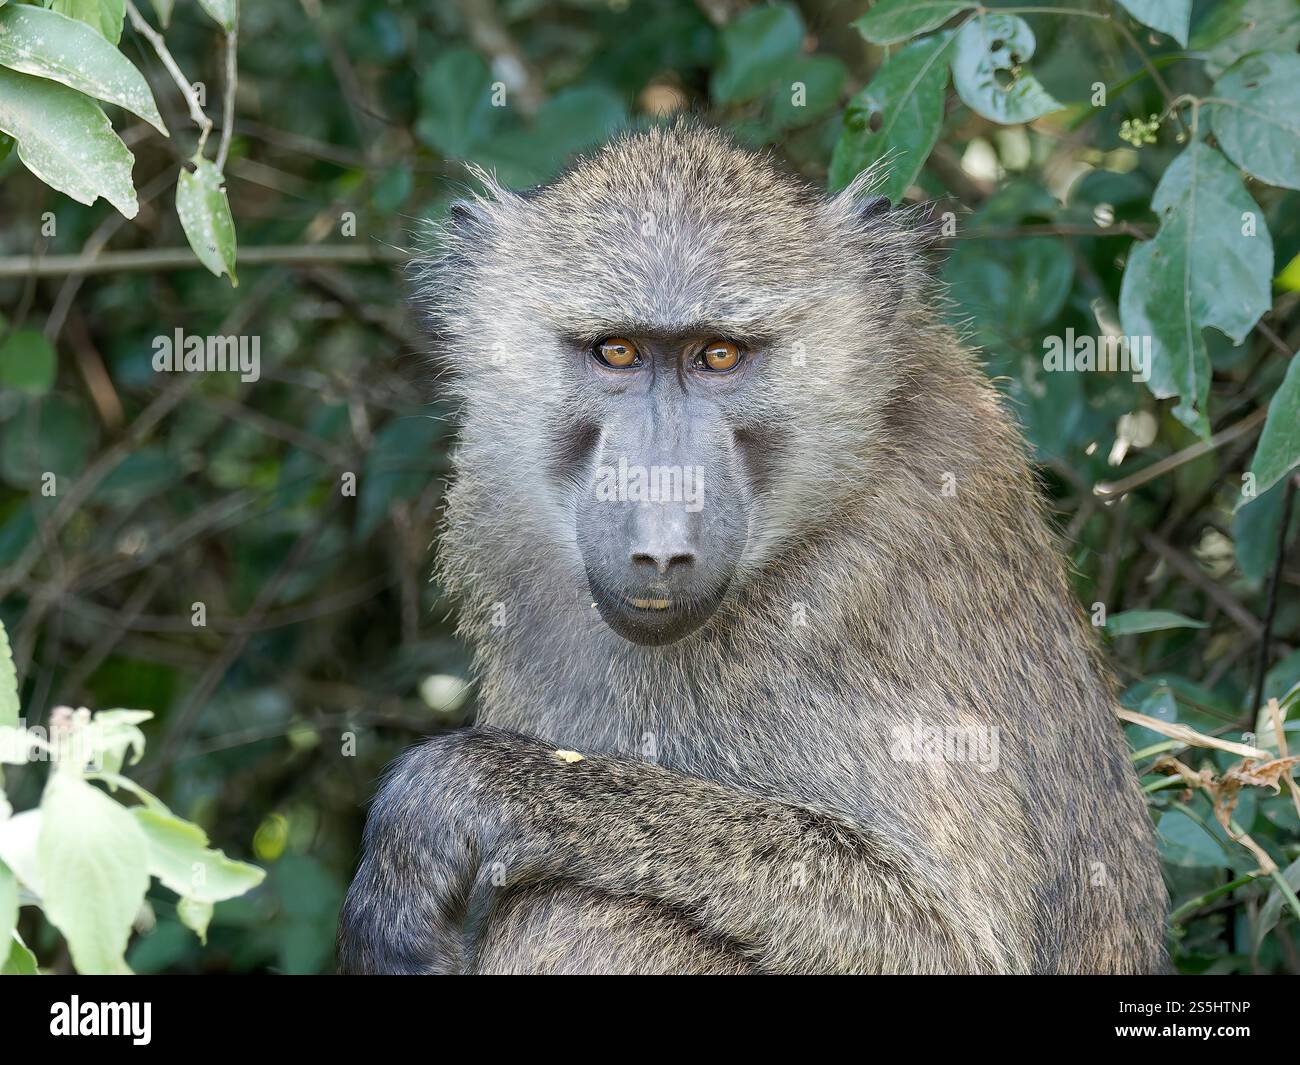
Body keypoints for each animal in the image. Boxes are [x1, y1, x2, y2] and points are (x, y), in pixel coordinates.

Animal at [336, 123, 1168, 975]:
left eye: (719, 355)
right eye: (617, 352)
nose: (661, 546)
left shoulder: (842, 602)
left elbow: (949, 943)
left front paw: (450, 797)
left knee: (589, 910)